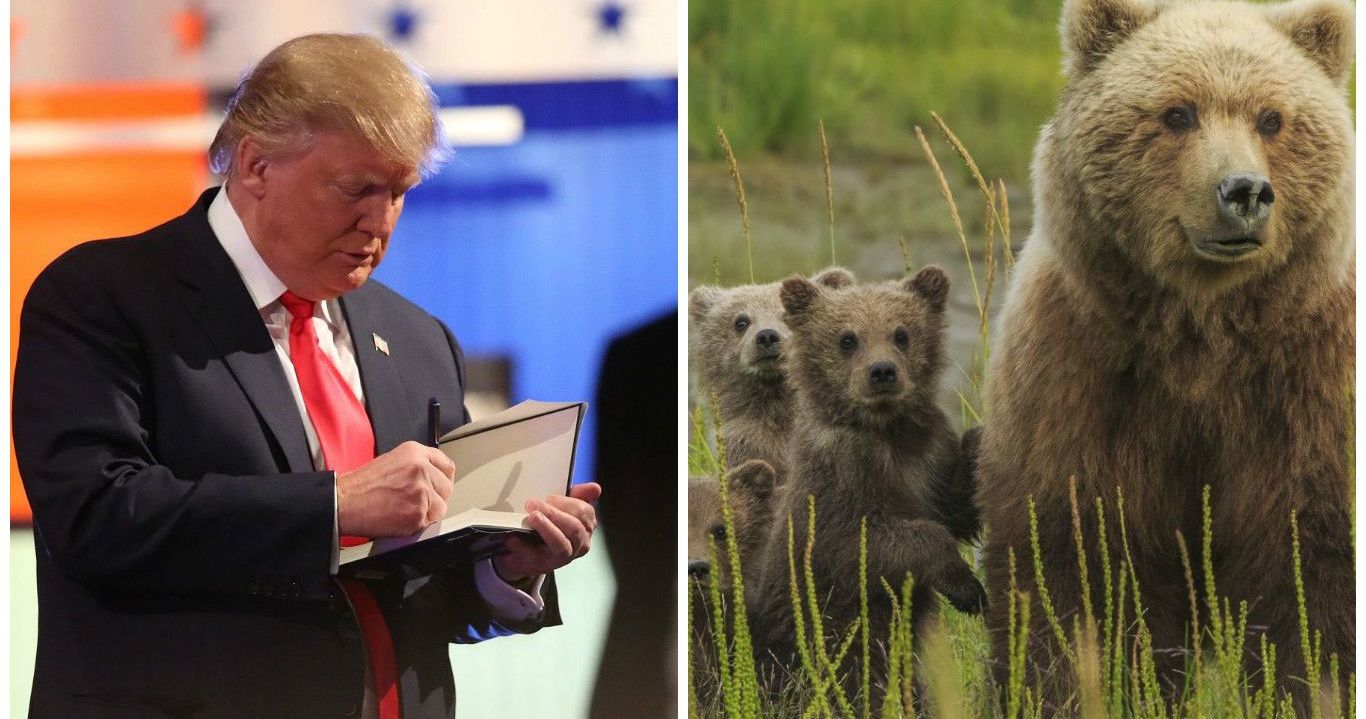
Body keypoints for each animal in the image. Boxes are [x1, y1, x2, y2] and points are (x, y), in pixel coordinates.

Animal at [747, 266, 987, 705]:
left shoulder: (927, 459)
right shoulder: (840, 482)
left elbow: (954, 506)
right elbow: (864, 542)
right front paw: (966, 587)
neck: (886, 430)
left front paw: (981, 444)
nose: (882, 372)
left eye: (901, 333)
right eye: (847, 339)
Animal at [976, 0, 1354, 713]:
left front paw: (1308, 689)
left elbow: (1311, 575)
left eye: (1272, 117)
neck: (1203, 331)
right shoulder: (1086, 375)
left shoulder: (1308, 388)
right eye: (1178, 112)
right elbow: (1088, 568)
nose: (1244, 191)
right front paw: (1100, 688)